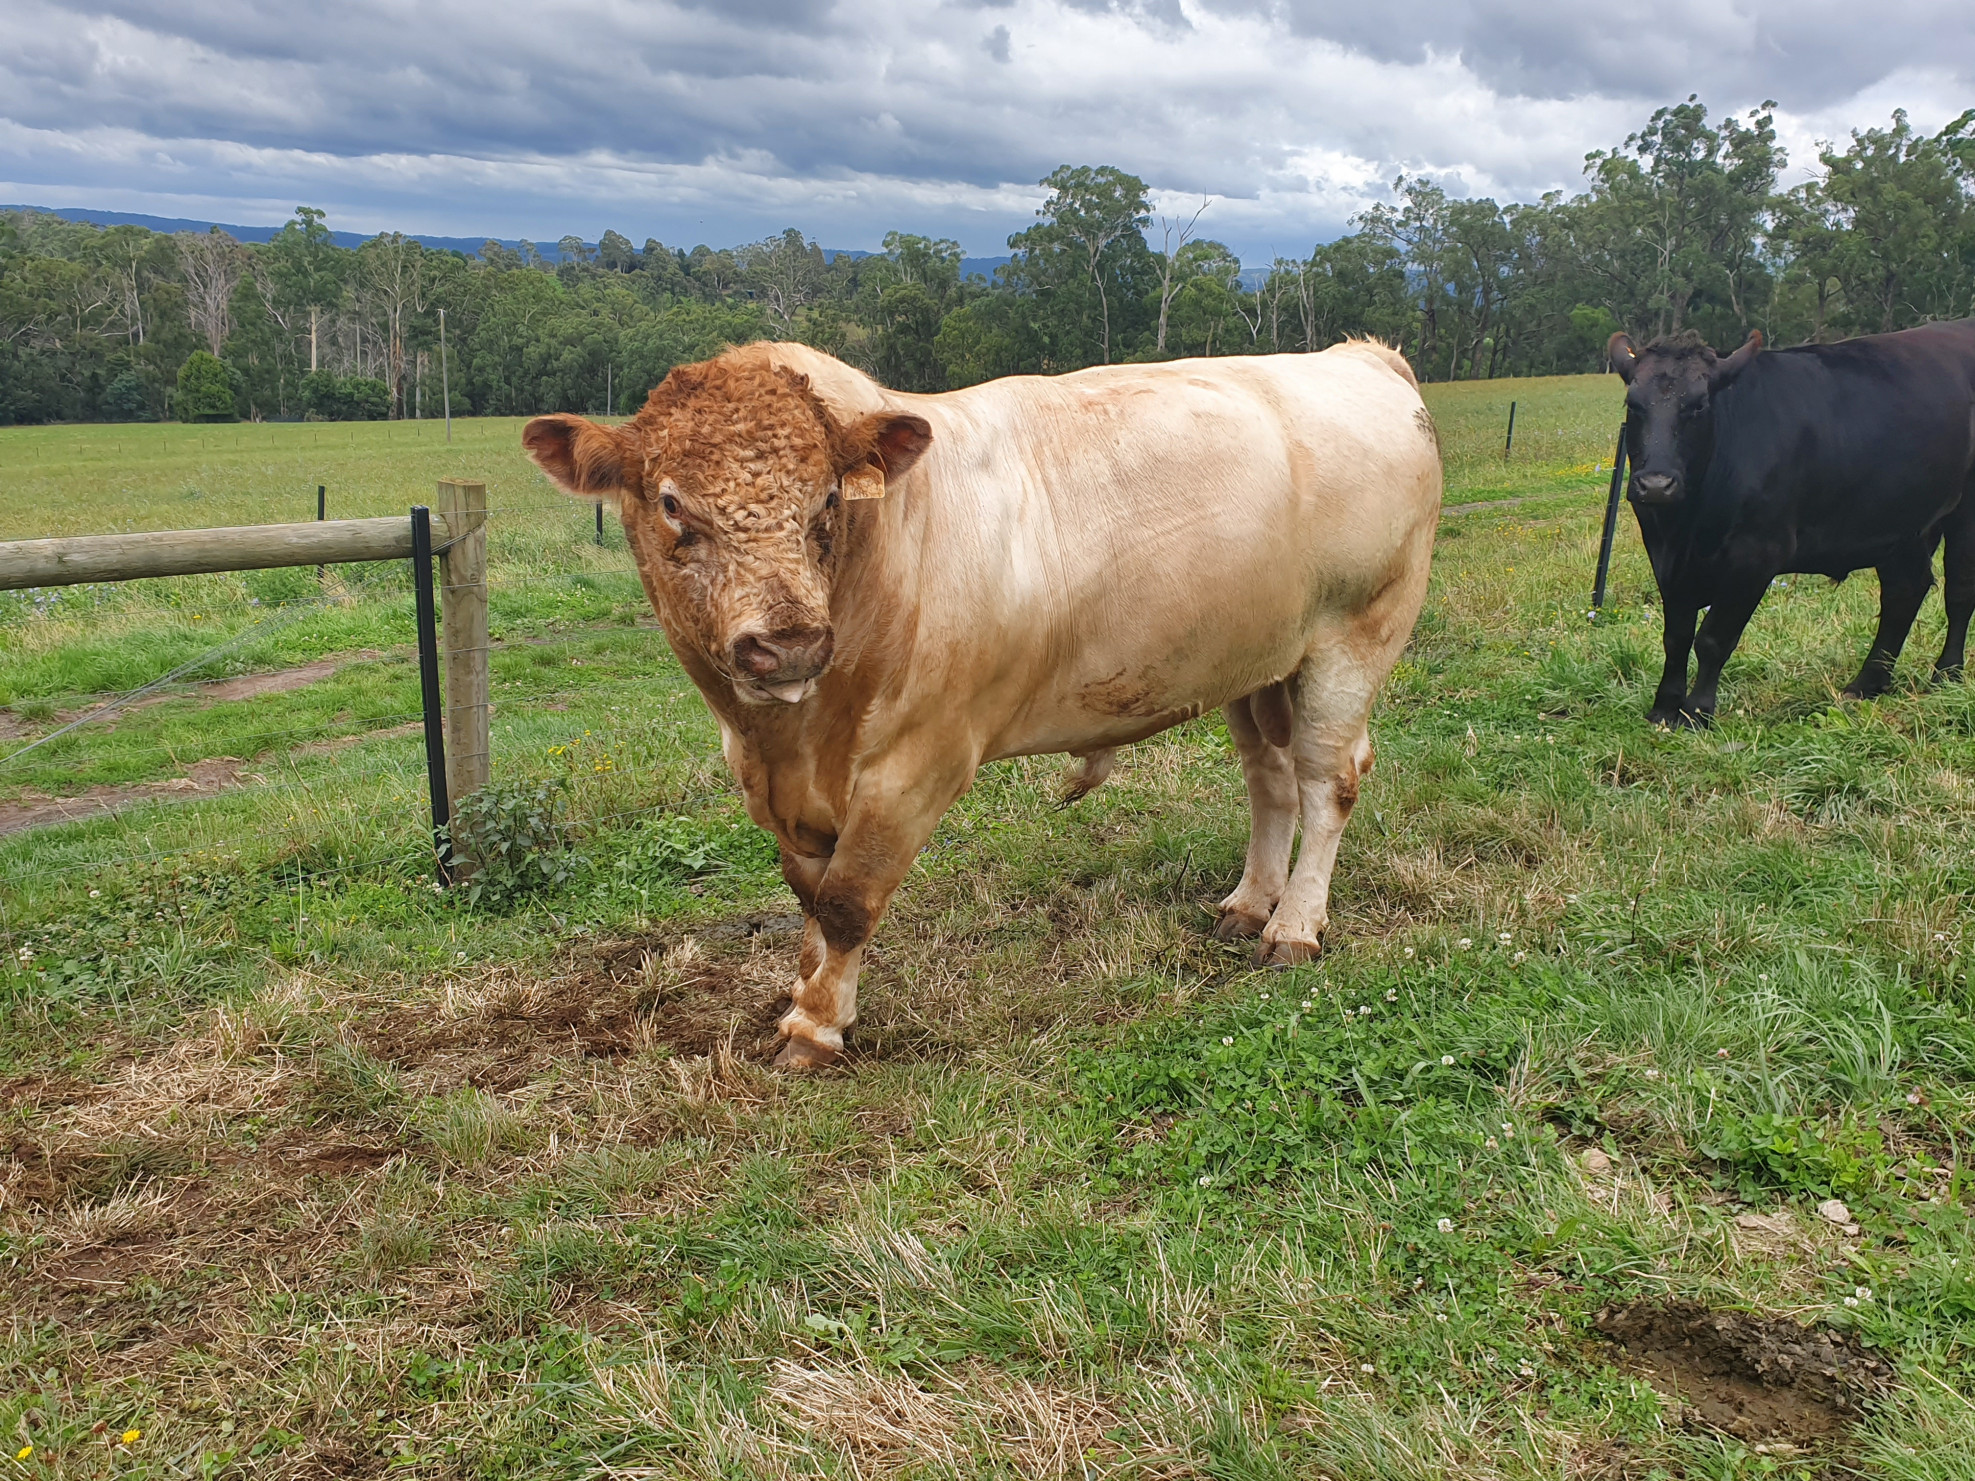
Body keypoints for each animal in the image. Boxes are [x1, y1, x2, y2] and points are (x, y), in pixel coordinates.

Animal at [523, 341, 1440, 1068]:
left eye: (828, 499)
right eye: (671, 502)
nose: (787, 643)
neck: (787, 735)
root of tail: (1357, 356)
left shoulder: (918, 761)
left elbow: (848, 901)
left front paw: (815, 1029)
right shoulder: (773, 782)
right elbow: (808, 896)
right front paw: (803, 996)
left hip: (1356, 635)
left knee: (1326, 780)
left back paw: (1295, 928)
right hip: (1254, 661)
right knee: (1269, 778)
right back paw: (1251, 905)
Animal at [1608, 319, 1975, 727]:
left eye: (1699, 405)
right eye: (1633, 404)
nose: (1656, 484)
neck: (1687, 526)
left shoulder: (1755, 555)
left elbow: (1712, 639)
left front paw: (1697, 712)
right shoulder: (1667, 558)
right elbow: (1676, 638)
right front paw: (1663, 708)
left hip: (1964, 511)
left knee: (1959, 593)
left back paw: (1947, 673)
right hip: (1902, 520)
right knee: (1904, 592)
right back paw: (1866, 684)